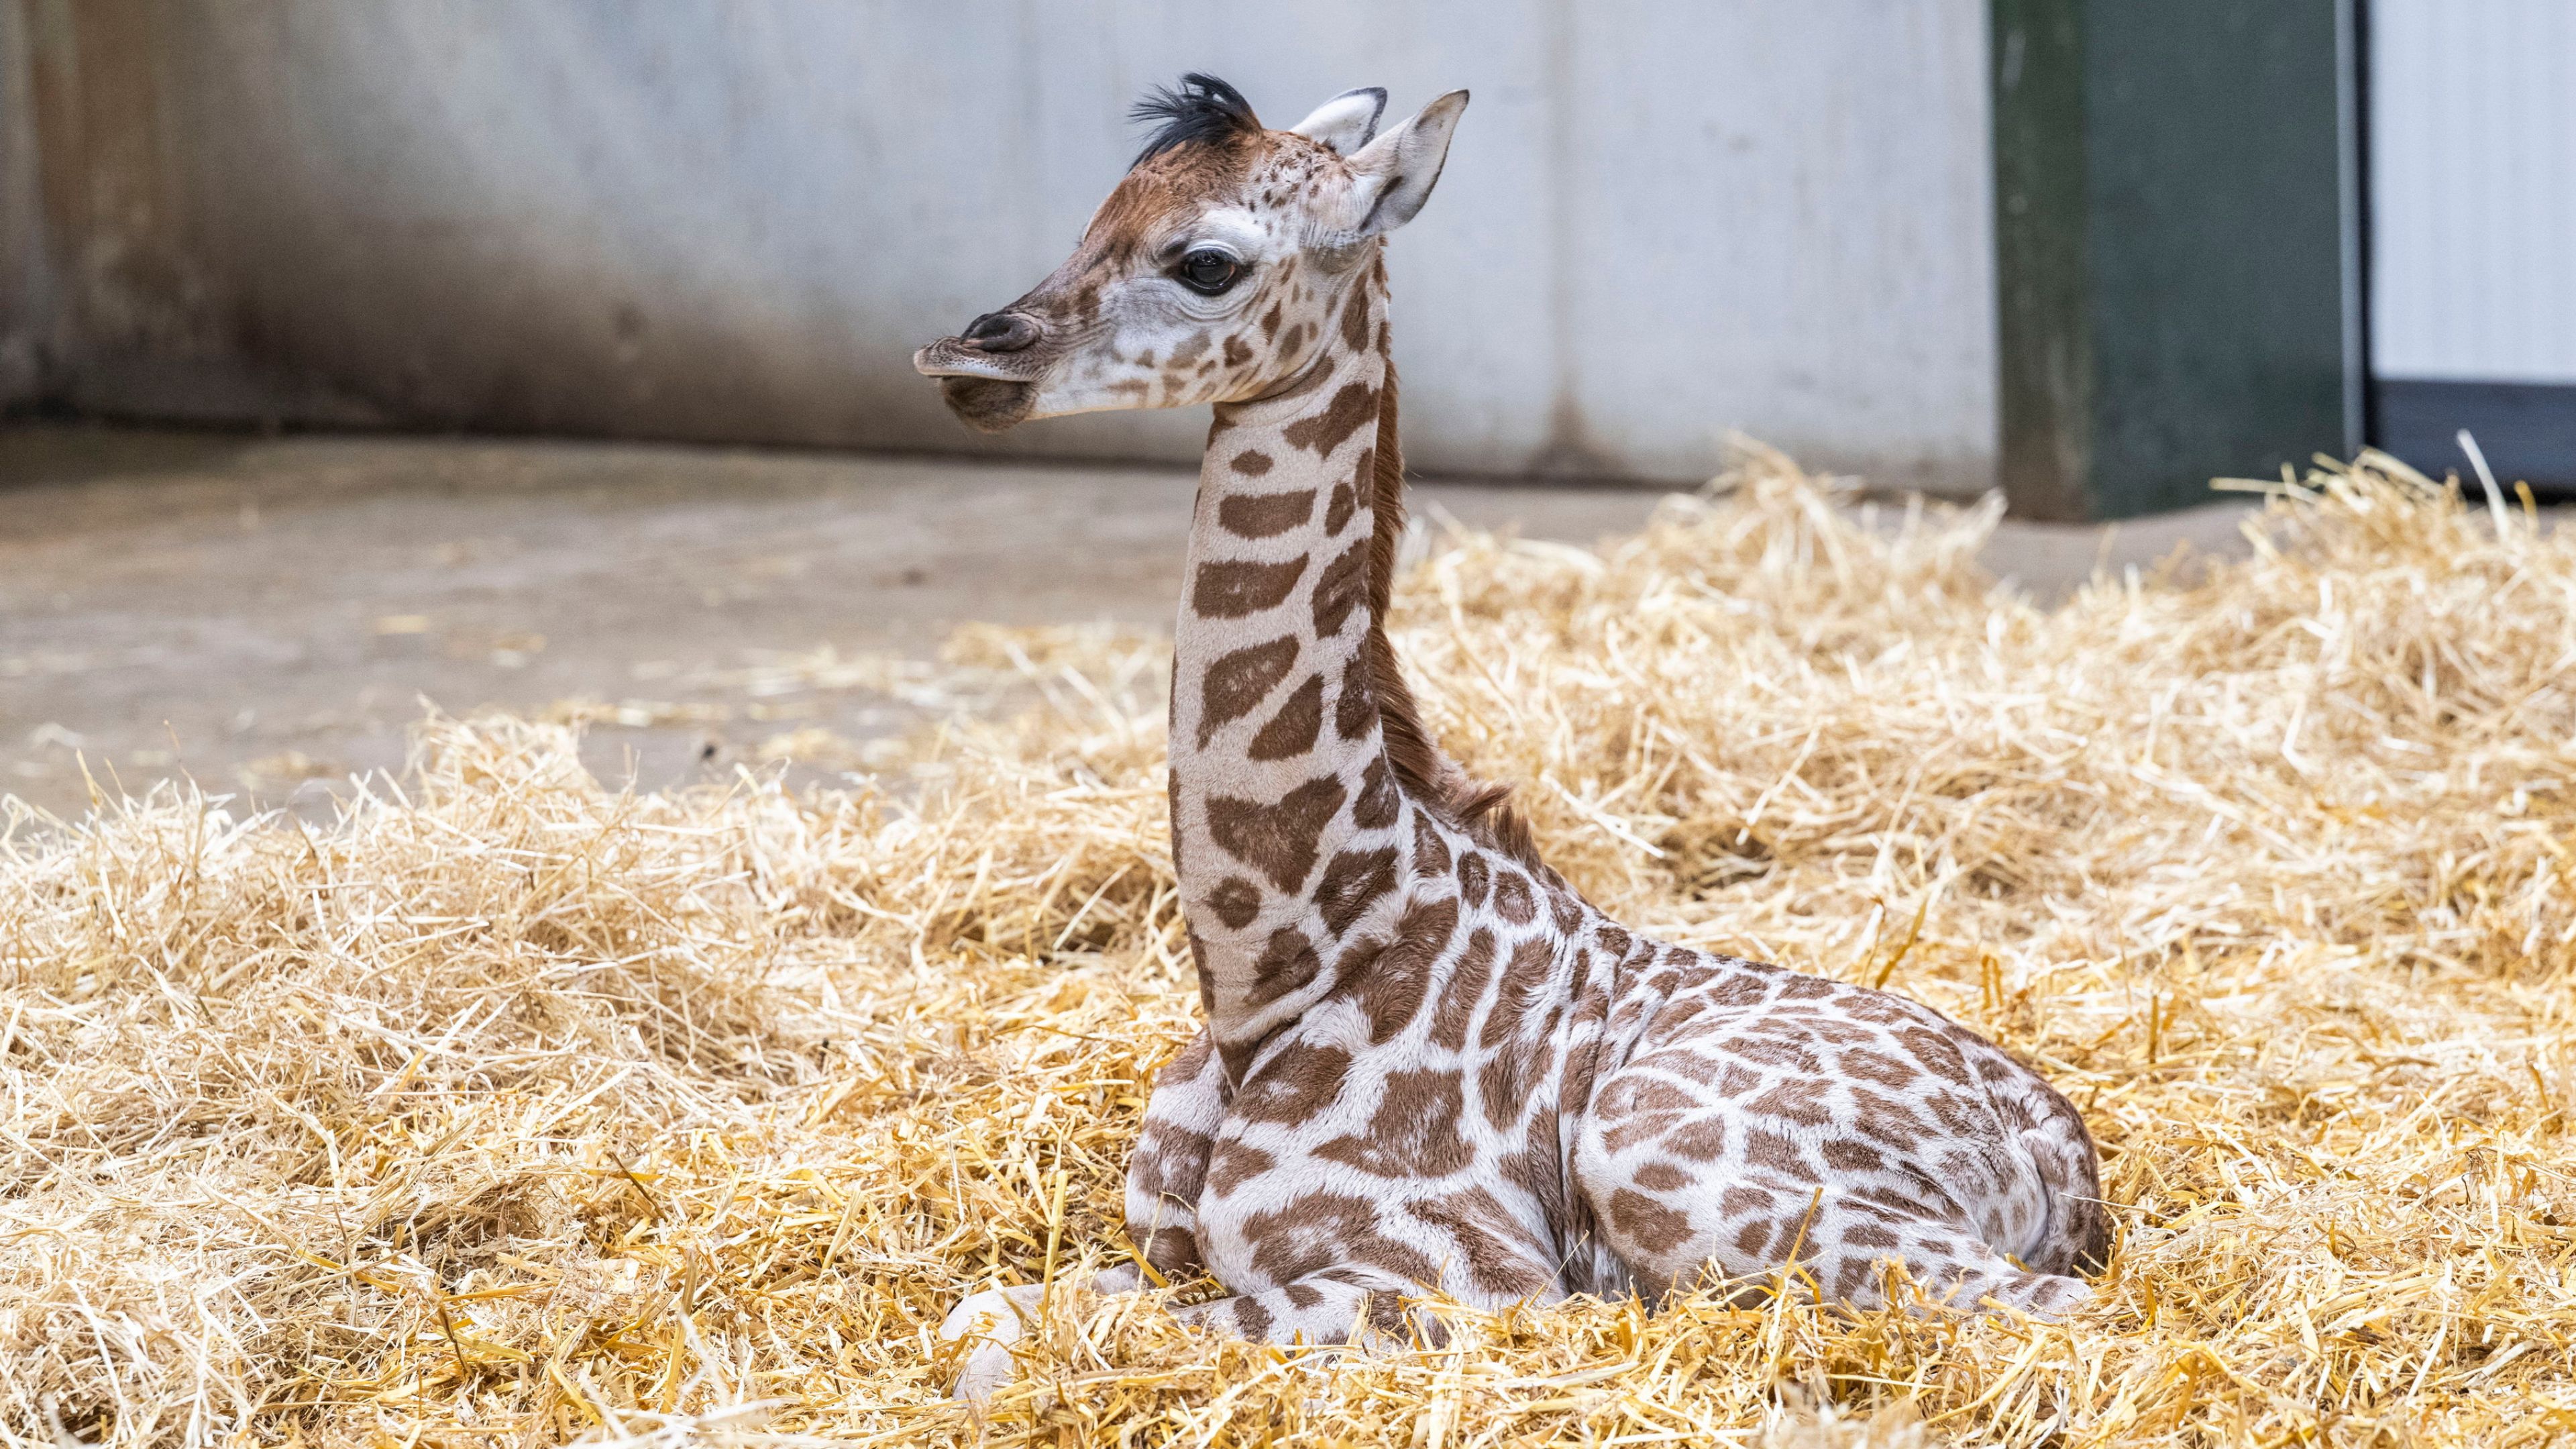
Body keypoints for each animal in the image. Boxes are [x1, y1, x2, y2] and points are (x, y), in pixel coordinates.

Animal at [913, 75, 2108, 1399]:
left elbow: (1007, 1352)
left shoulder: (1456, 1275)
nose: (968, 355)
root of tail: (2066, 1154)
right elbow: (979, 1321)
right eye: (1095, 213)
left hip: (1667, 1158)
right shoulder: (1161, 1254)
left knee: (2048, 1312)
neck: (1277, 971)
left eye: (1207, 261)